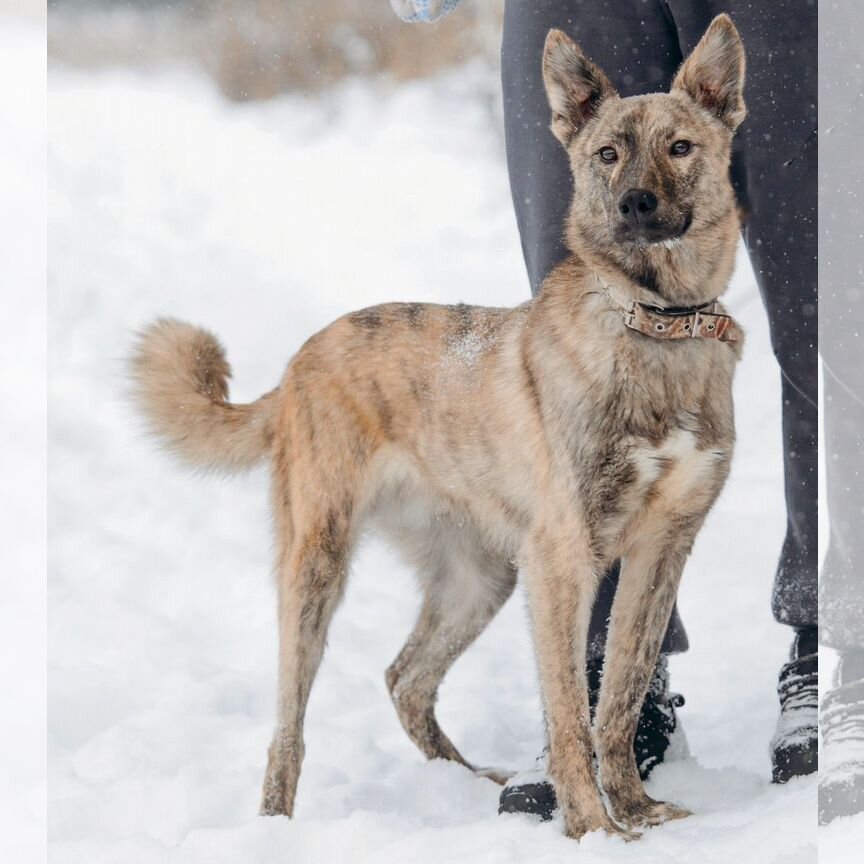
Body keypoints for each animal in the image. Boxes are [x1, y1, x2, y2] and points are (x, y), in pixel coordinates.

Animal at [132, 11, 744, 836]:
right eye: (607, 154)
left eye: (680, 147)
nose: (635, 206)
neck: (653, 323)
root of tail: (295, 367)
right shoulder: (563, 557)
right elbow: (569, 715)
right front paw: (590, 827)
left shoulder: (662, 549)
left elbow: (618, 695)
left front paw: (638, 812)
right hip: (318, 567)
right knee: (289, 727)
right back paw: (278, 824)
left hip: (477, 579)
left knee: (406, 678)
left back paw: (469, 781)